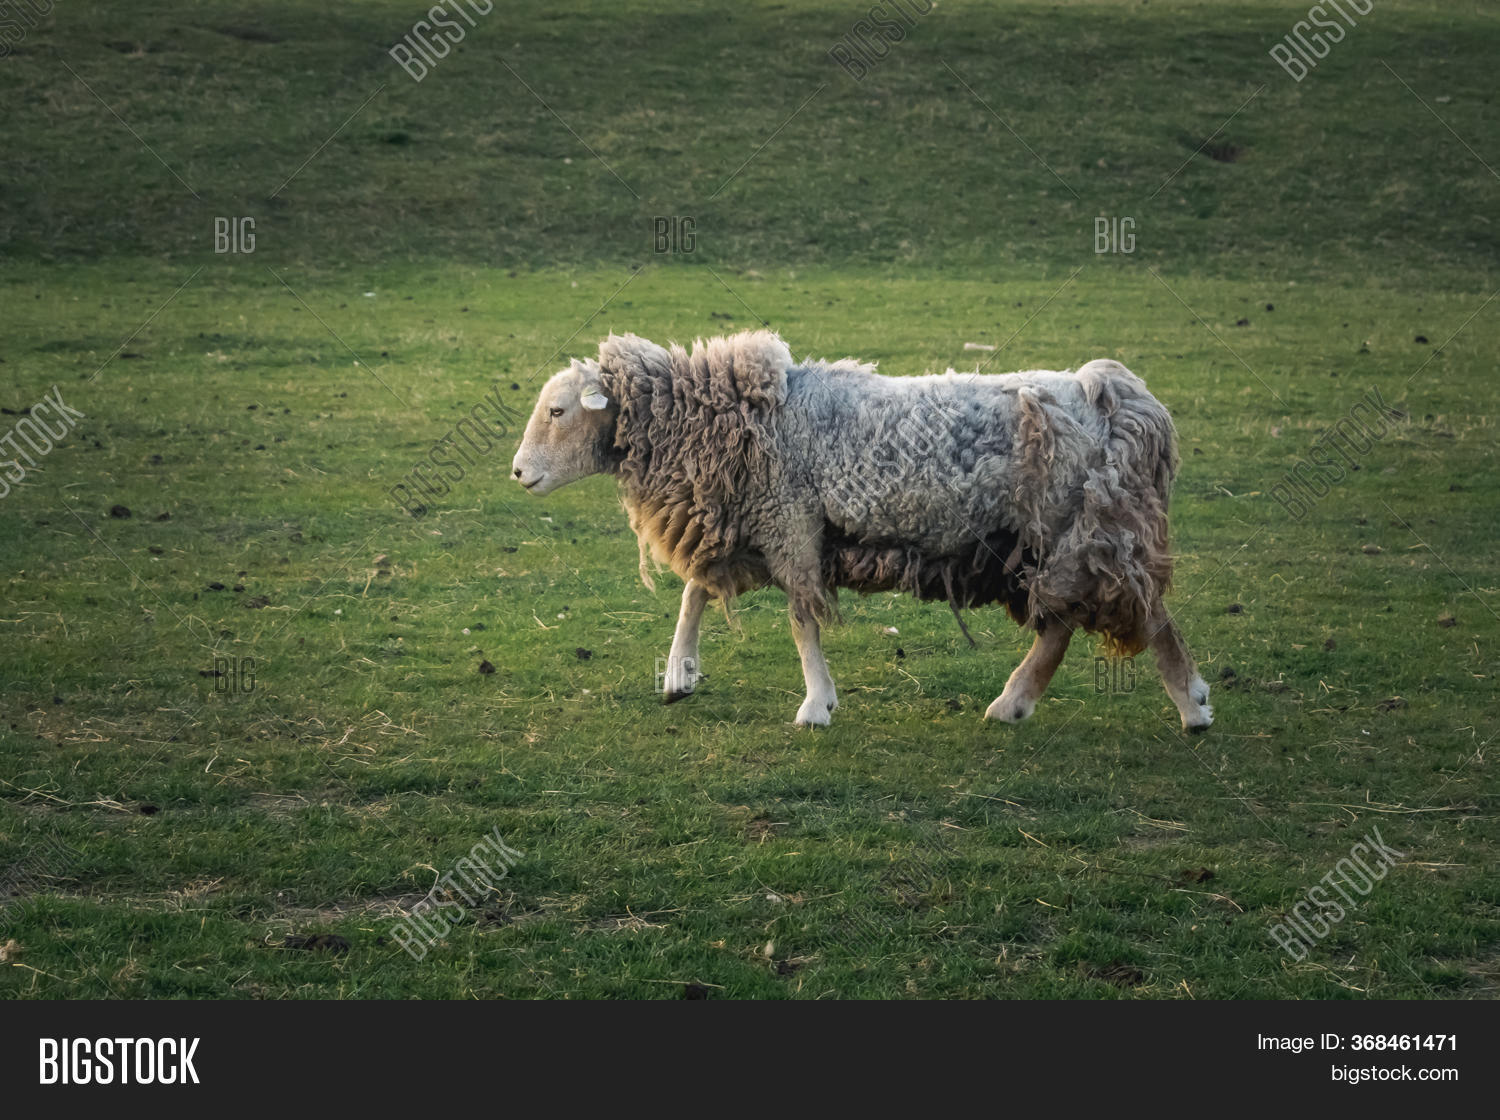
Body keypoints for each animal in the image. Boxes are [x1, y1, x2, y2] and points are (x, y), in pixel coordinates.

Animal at [511, 330, 1212, 731]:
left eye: (558, 411)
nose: (517, 472)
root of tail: (1111, 394)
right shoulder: (749, 524)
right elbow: (696, 592)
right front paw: (679, 676)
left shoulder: (789, 522)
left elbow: (800, 620)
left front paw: (816, 705)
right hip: (1051, 538)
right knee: (1066, 621)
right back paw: (1014, 704)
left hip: (1081, 525)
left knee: (1139, 612)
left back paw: (1192, 707)